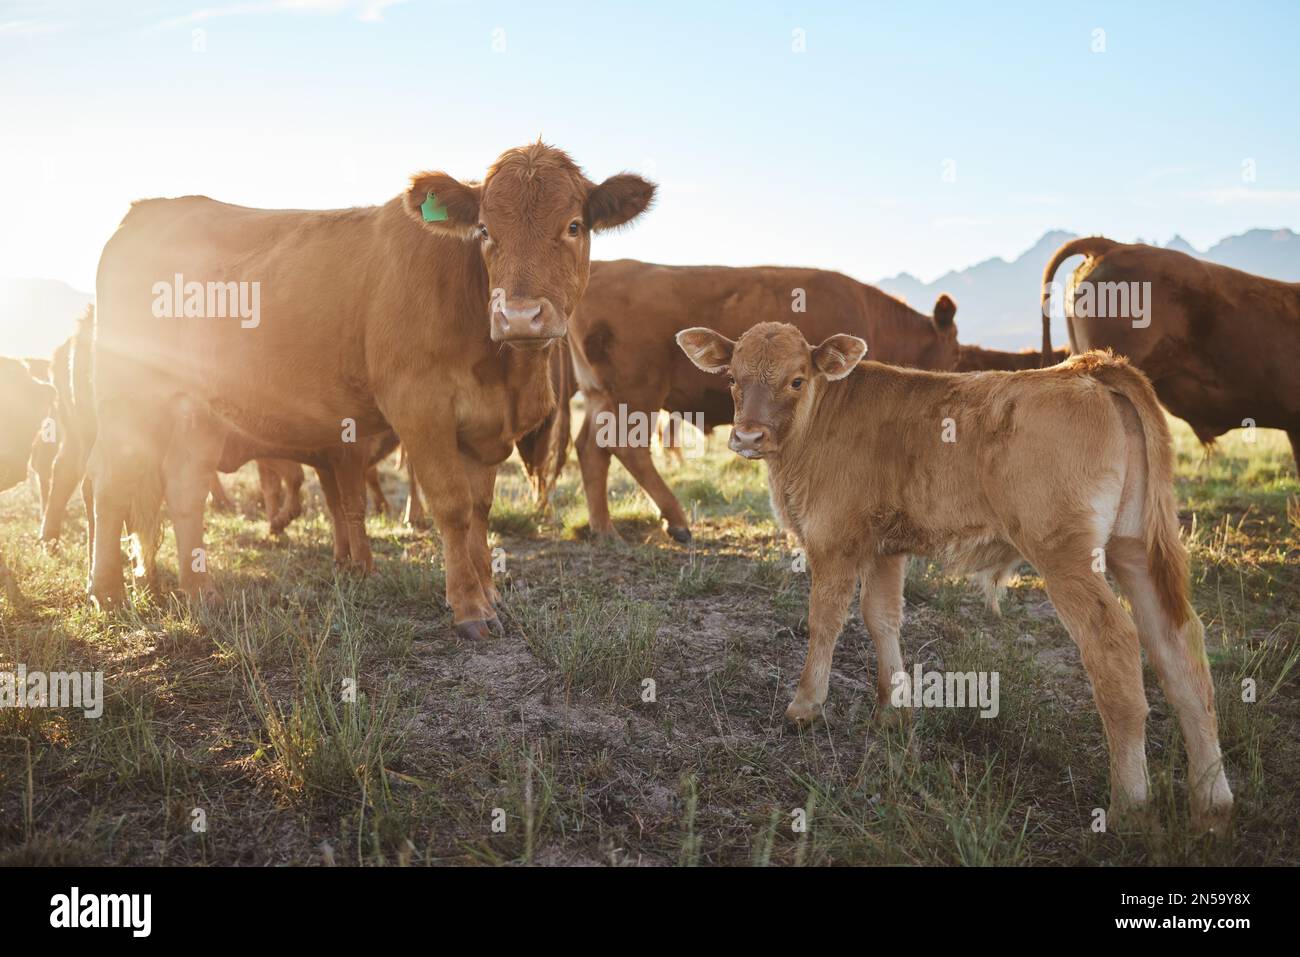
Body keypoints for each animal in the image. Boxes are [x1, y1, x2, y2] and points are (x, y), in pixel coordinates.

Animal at [89, 142, 654, 638]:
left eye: (574, 225)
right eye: (485, 230)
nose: (518, 316)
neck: (504, 372)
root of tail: (144, 212)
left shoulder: (483, 428)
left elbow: (479, 511)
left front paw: (490, 595)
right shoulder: (419, 407)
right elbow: (451, 506)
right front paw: (468, 608)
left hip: (195, 413)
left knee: (184, 490)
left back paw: (201, 591)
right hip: (123, 396)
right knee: (110, 485)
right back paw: (107, 591)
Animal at [524, 260, 959, 541]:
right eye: (955, 354)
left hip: (603, 398)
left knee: (591, 448)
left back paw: (604, 529)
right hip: (634, 397)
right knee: (624, 449)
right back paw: (676, 522)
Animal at [676, 321, 1233, 834]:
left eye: (795, 380)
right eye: (732, 377)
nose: (748, 435)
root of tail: (1085, 368)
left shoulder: (834, 540)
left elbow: (825, 620)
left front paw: (804, 706)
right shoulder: (884, 547)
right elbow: (881, 617)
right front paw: (893, 708)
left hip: (1066, 555)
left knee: (1114, 644)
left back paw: (1128, 804)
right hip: (1134, 547)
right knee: (1179, 646)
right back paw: (1212, 801)